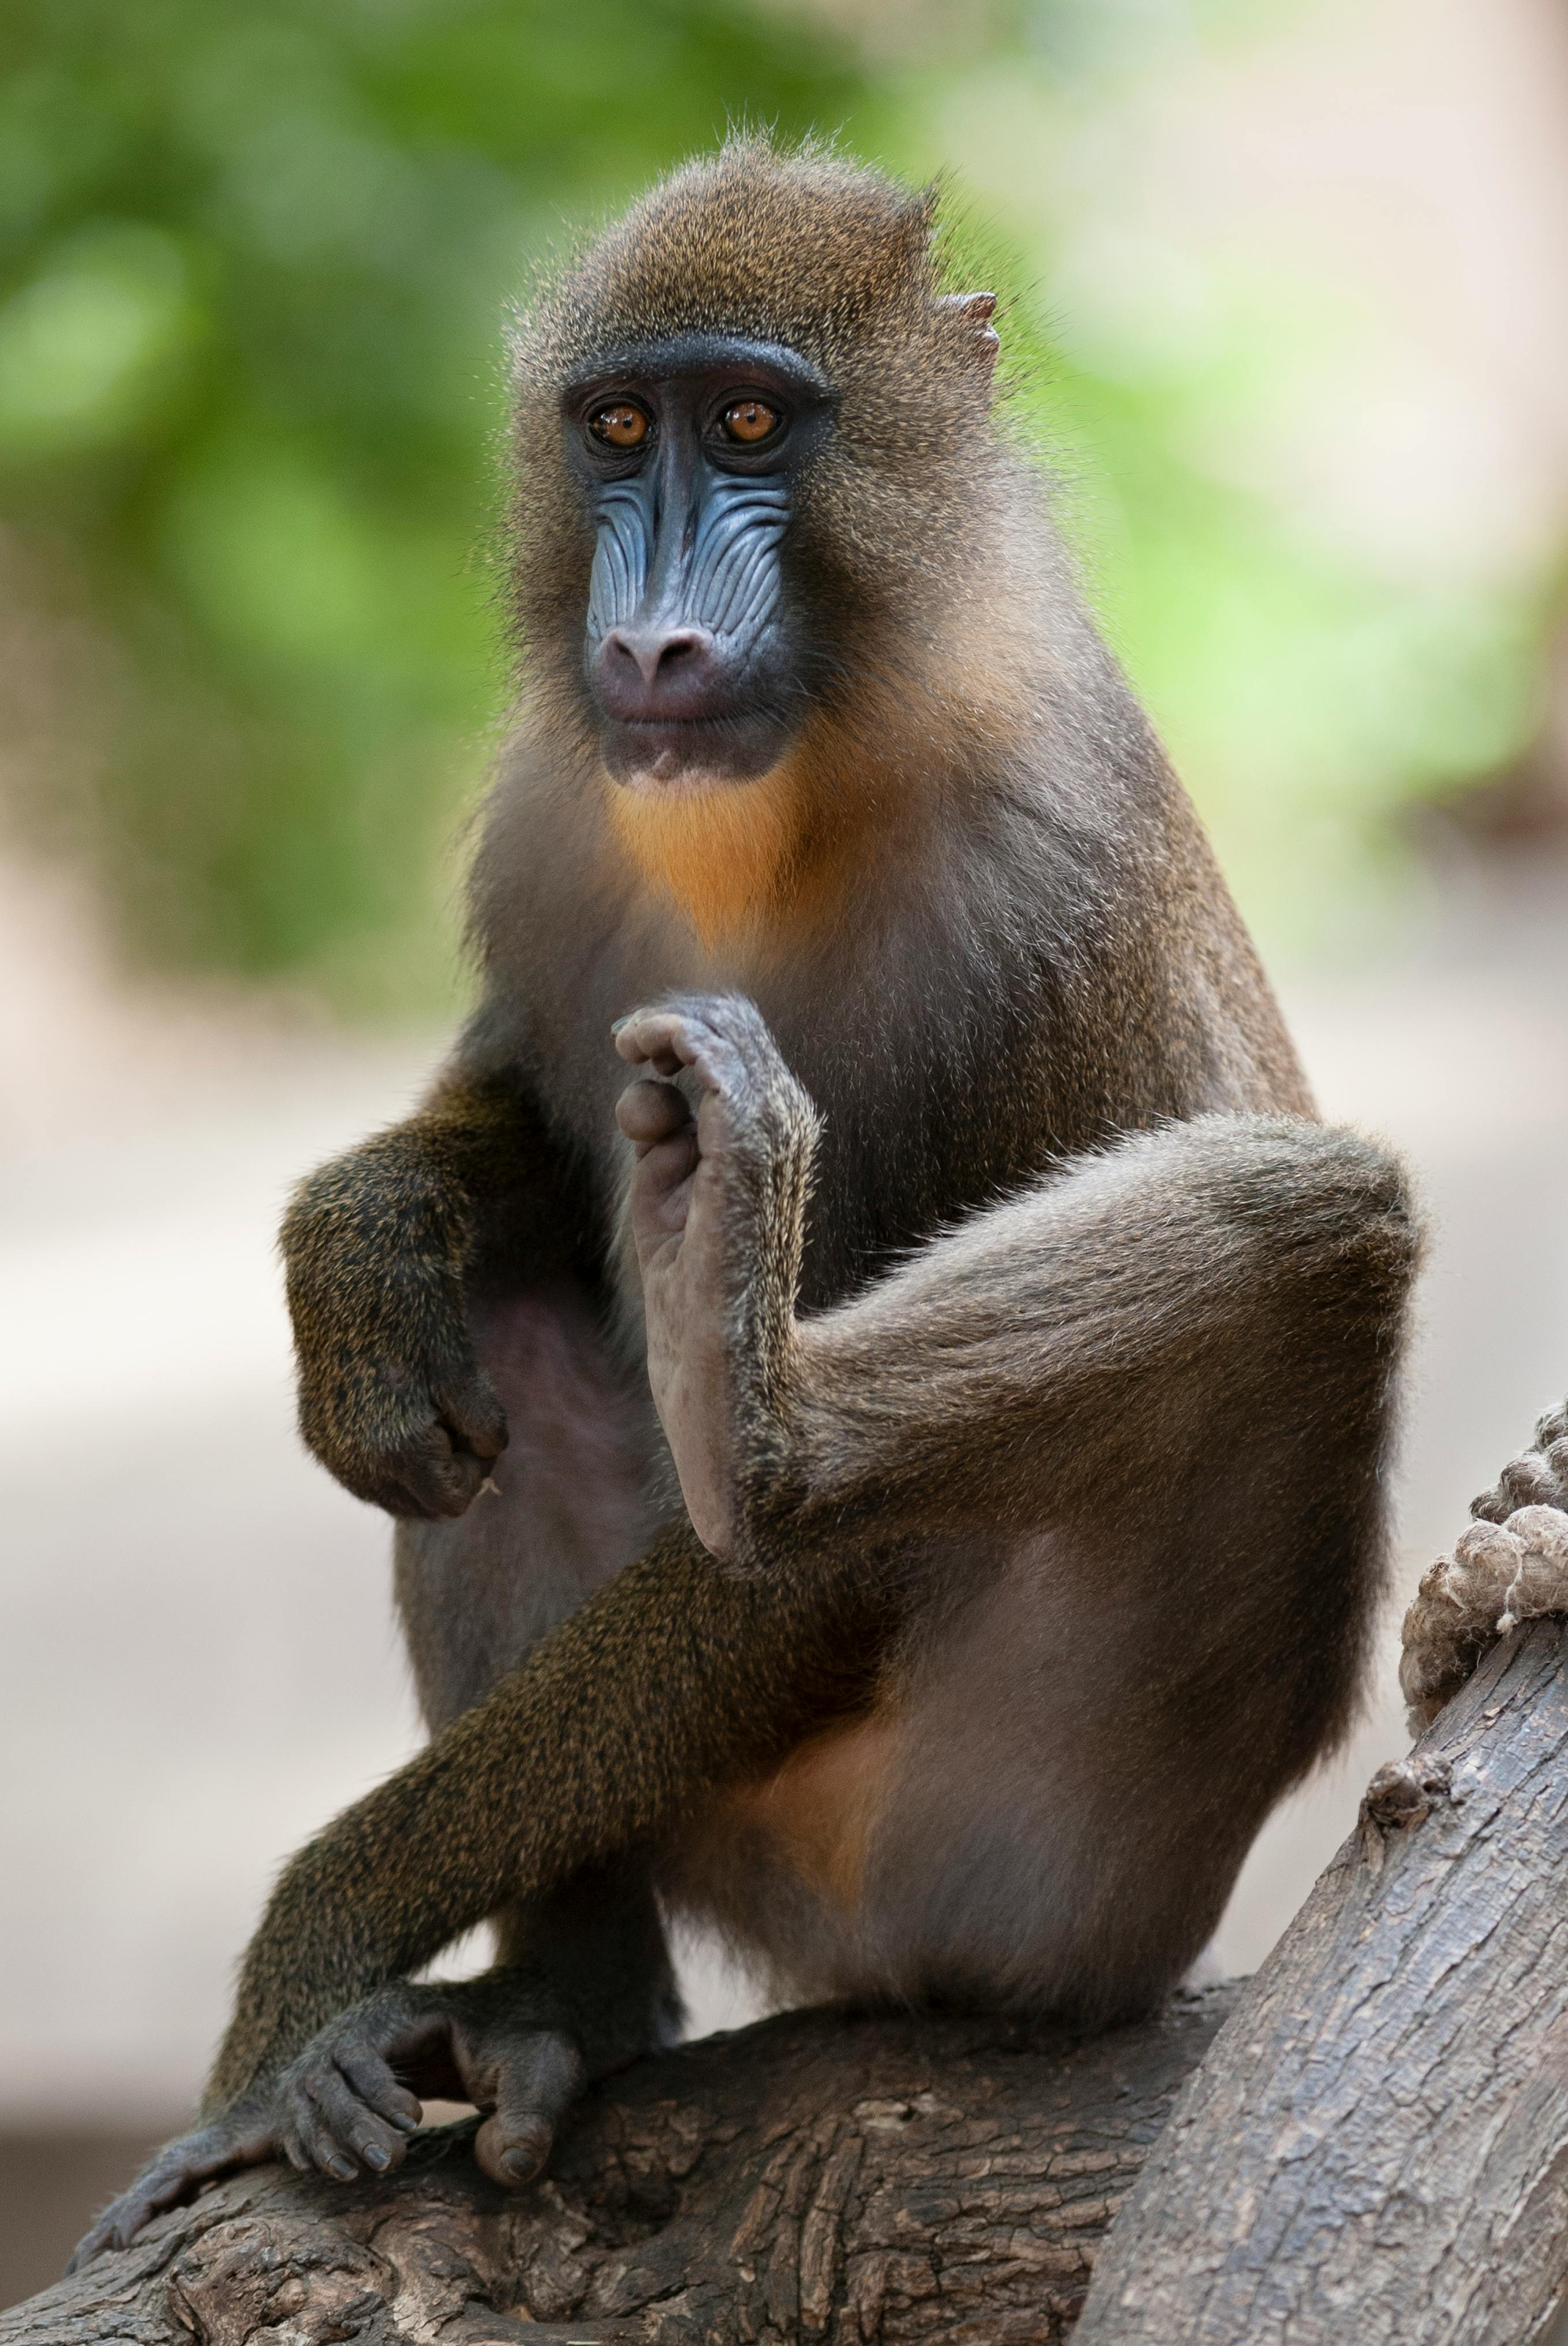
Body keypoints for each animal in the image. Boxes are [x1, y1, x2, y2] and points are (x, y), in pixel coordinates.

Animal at [73, 137, 1422, 2265]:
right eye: (623, 429)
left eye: (759, 424)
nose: (652, 648)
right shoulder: (549, 836)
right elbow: (520, 1162)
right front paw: (358, 1245)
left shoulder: (1010, 912)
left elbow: (827, 1566)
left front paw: (308, 1949)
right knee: (493, 1365)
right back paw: (568, 2001)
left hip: (1036, 1838)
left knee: (1306, 1228)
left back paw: (758, 1414)